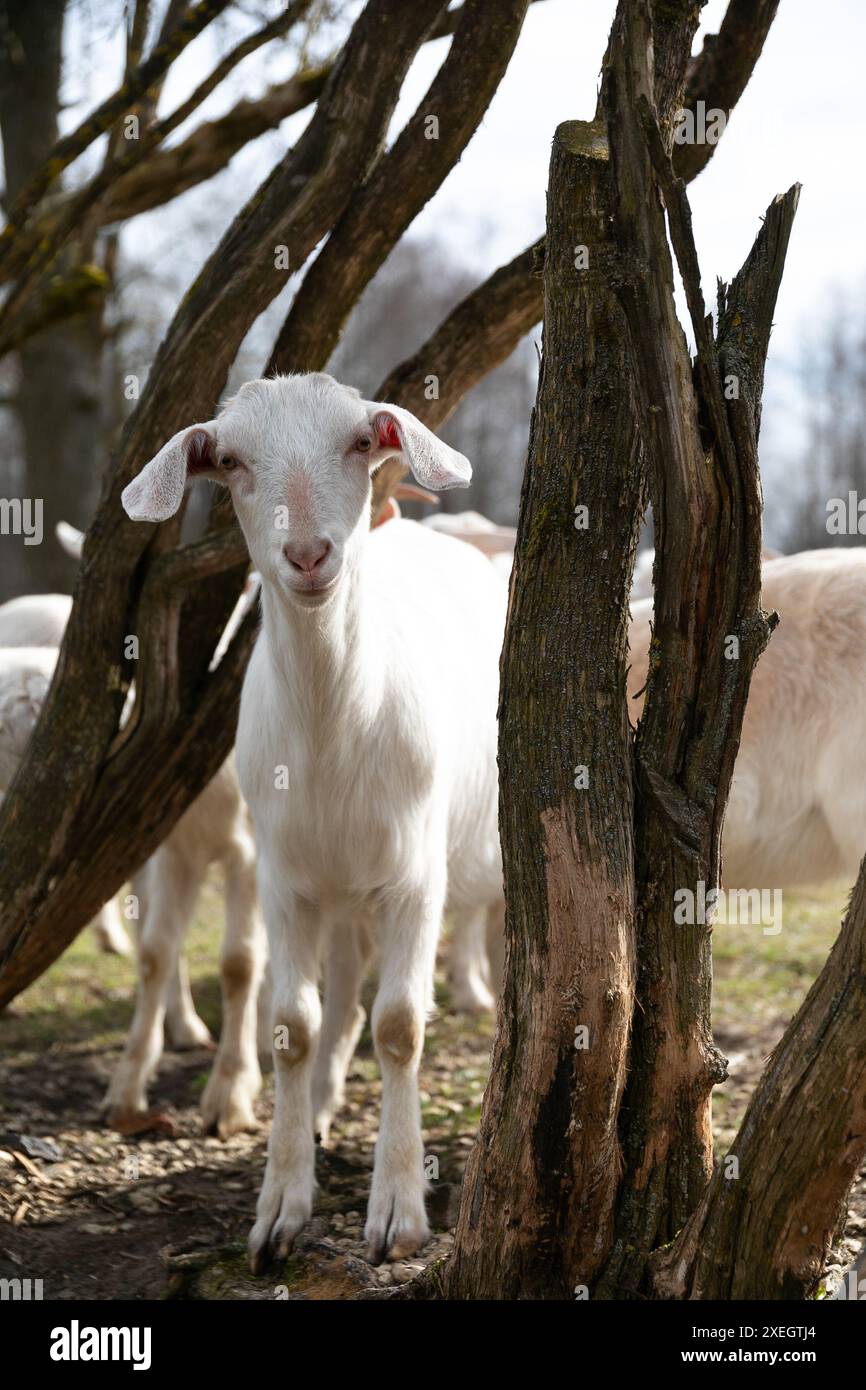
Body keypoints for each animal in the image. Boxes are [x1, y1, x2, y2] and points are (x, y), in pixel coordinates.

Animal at [122, 372, 506, 1267]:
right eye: (229, 460)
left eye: (362, 442)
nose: (307, 555)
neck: (336, 726)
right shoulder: (283, 878)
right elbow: (291, 1023)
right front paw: (278, 1210)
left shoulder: (415, 876)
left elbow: (399, 1025)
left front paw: (397, 1212)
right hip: (335, 882)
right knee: (339, 993)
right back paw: (327, 1099)